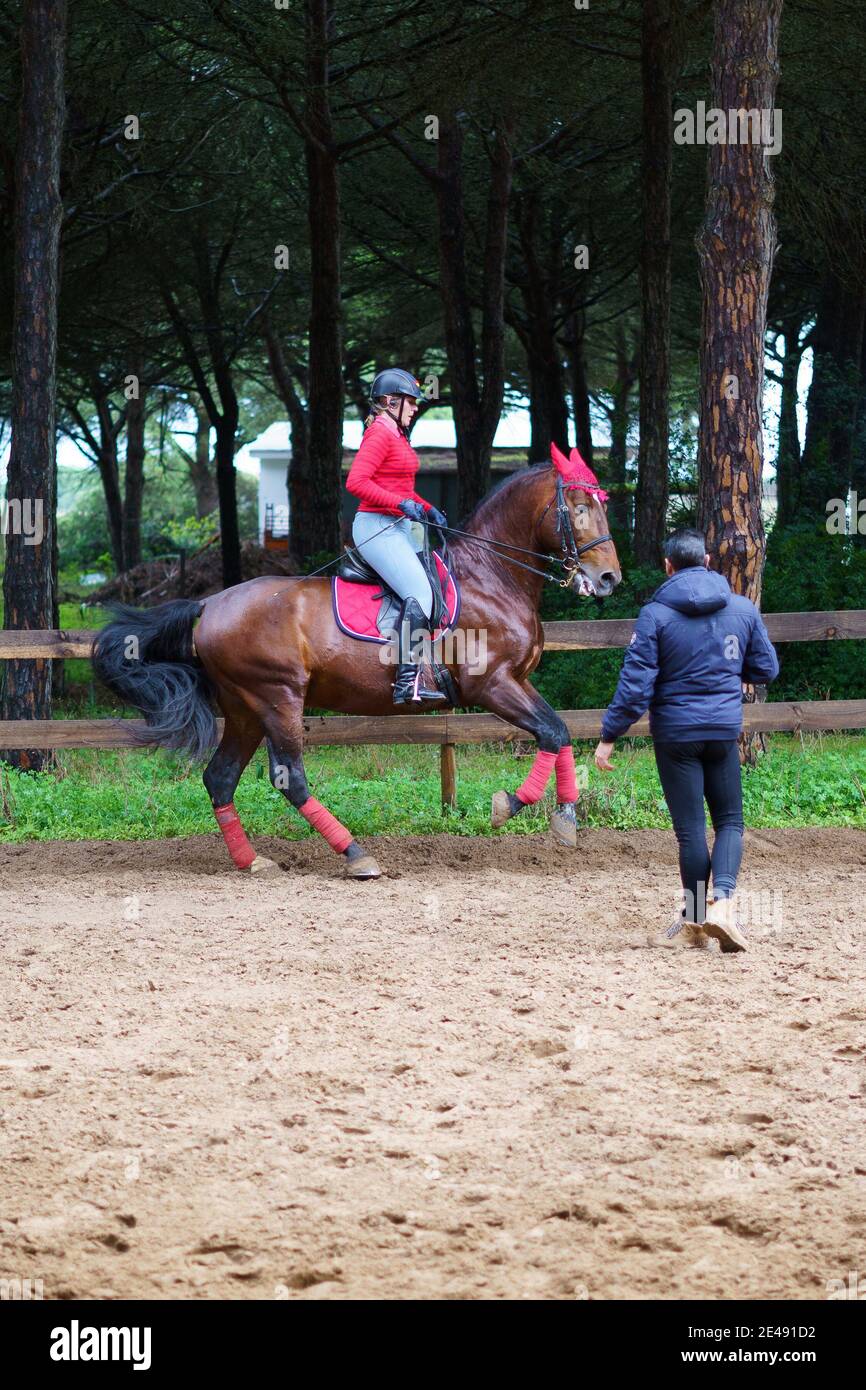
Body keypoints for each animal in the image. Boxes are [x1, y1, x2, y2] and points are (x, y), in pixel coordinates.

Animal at [92, 453, 621, 879]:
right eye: (578, 508)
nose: (608, 578)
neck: (492, 575)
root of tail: (209, 604)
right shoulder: (491, 685)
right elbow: (549, 732)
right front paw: (508, 806)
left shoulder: (518, 681)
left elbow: (559, 730)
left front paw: (565, 820)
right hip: (277, 697)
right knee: (290, 777)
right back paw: (356, 855)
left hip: (245, 709)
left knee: (220, 778)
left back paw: (252, 861)